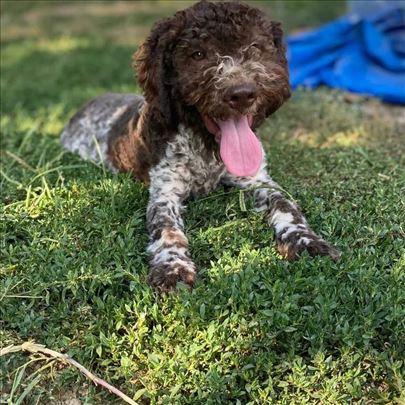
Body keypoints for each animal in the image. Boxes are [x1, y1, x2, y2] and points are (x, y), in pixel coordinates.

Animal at [60, 0, 338, 290]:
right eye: (198, 54)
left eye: (255, 47)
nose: (242, 94)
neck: (206, 147)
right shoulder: (165, 192)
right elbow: (167, 229)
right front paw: (173, 267)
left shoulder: (257, 179)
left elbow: (286, 206)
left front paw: (306, 241)